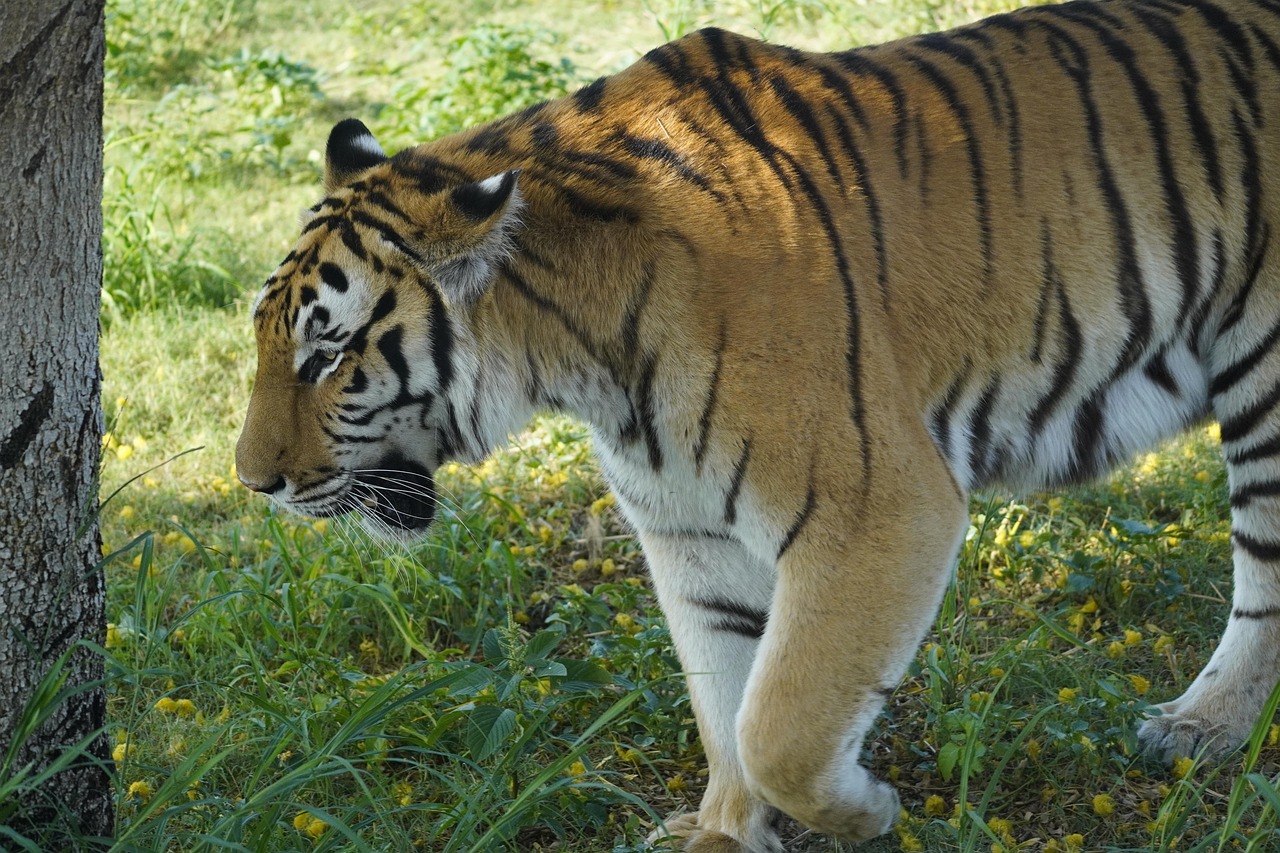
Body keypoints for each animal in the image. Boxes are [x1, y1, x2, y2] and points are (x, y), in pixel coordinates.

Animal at [236, 0, 1280, 847]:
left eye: (326, 354)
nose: (255, 482)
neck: (582, 355)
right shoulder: (688, 530)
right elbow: (723, 697)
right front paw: (726, 831)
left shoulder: (880, 507)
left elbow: (779, 719)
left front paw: (865, 809)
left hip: (1264, 382)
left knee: (1264, 576)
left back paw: (1201, 728)